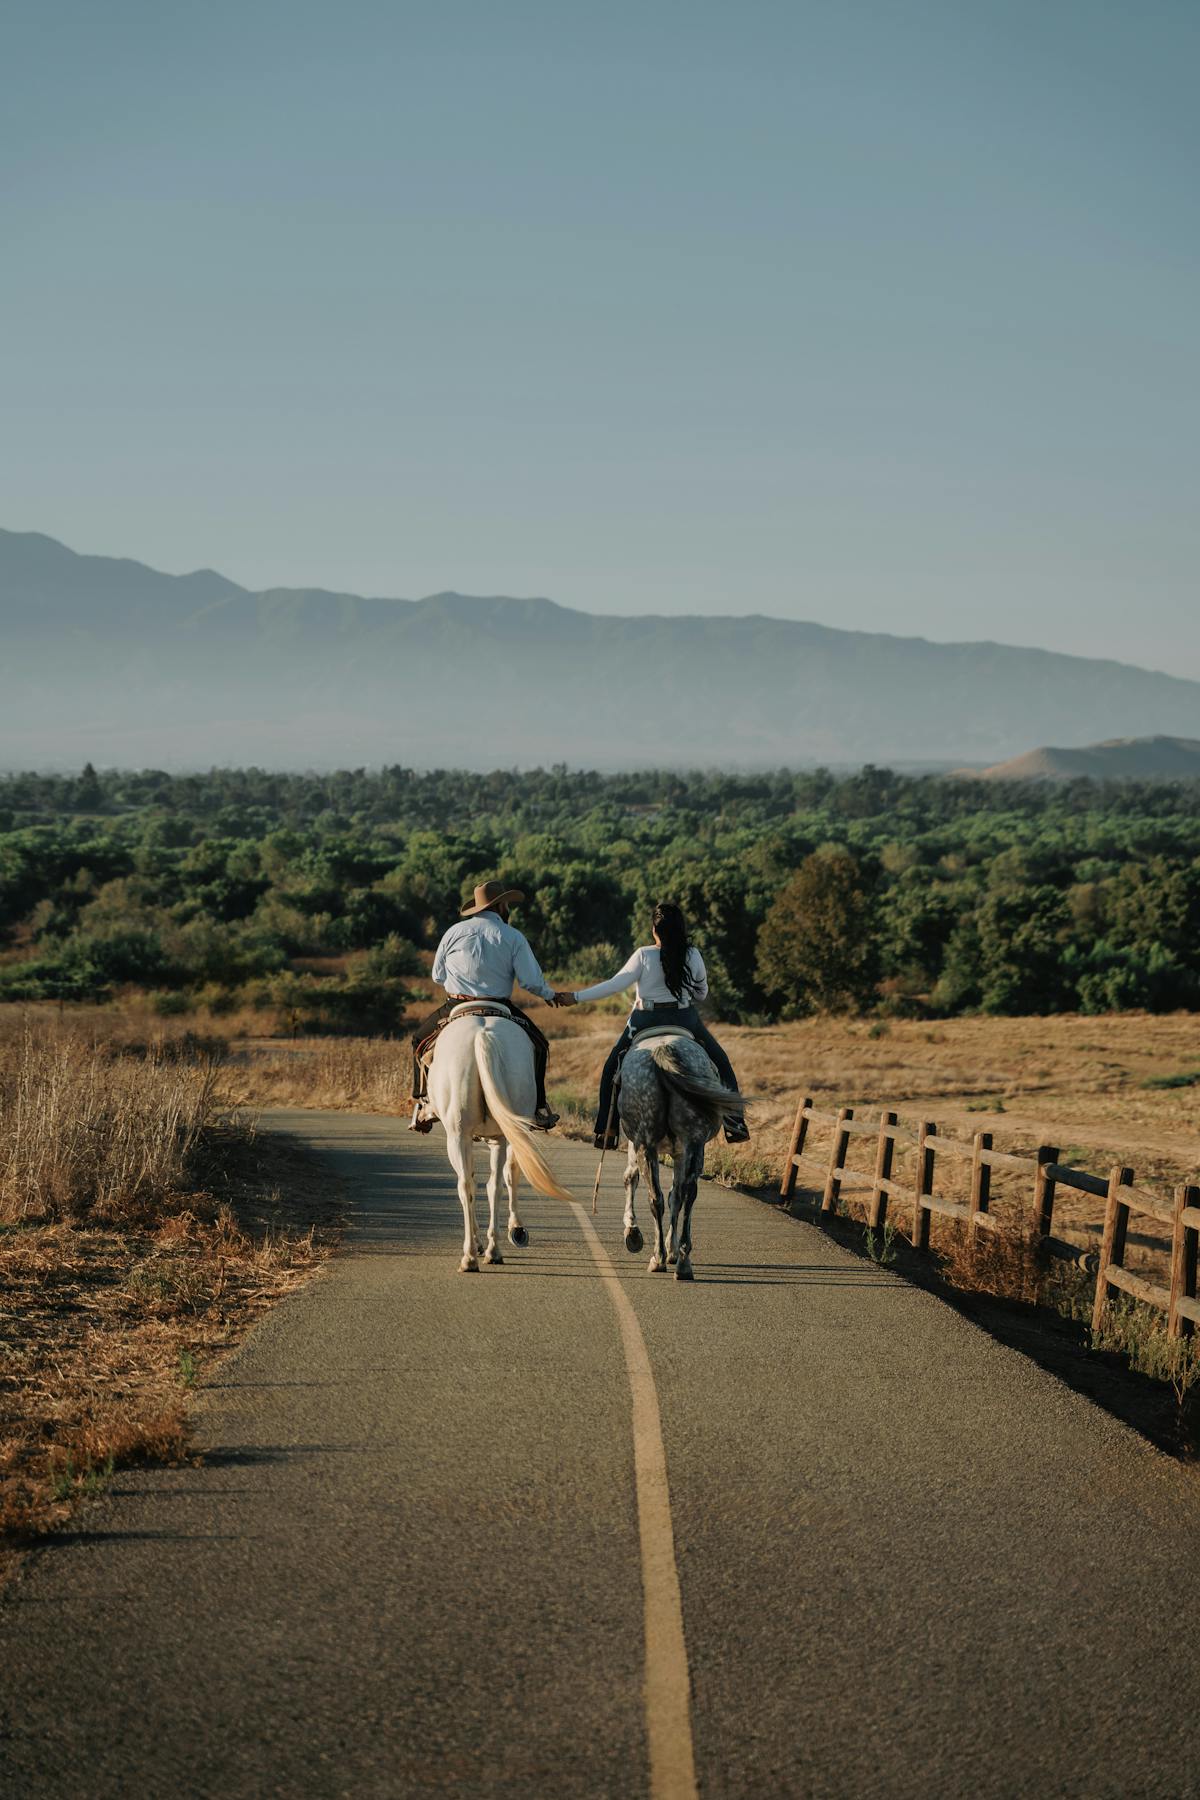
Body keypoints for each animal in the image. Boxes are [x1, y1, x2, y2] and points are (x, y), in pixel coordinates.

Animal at [425, 1004, 572, 1272]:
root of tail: (482, 1036)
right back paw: (487, 1252)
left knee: (475, 1184)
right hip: (499, 1132)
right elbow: (506, 1174)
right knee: (490, 1184)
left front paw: (501, 1234)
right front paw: (512, 1231)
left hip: (463, 1134)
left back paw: (475, 1254)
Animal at [617, 1028, 752, 1281]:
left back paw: (659, 1258)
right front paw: (672, 1250)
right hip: (693, 1143)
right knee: (685, 1194)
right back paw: (682, 1262)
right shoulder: (679, 1152)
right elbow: (676, 1196)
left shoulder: (636, 1144)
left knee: (657, 1197)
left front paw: (633, 1233)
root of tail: (662, 1048)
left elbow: (631, 1178)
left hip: (647, 1144)